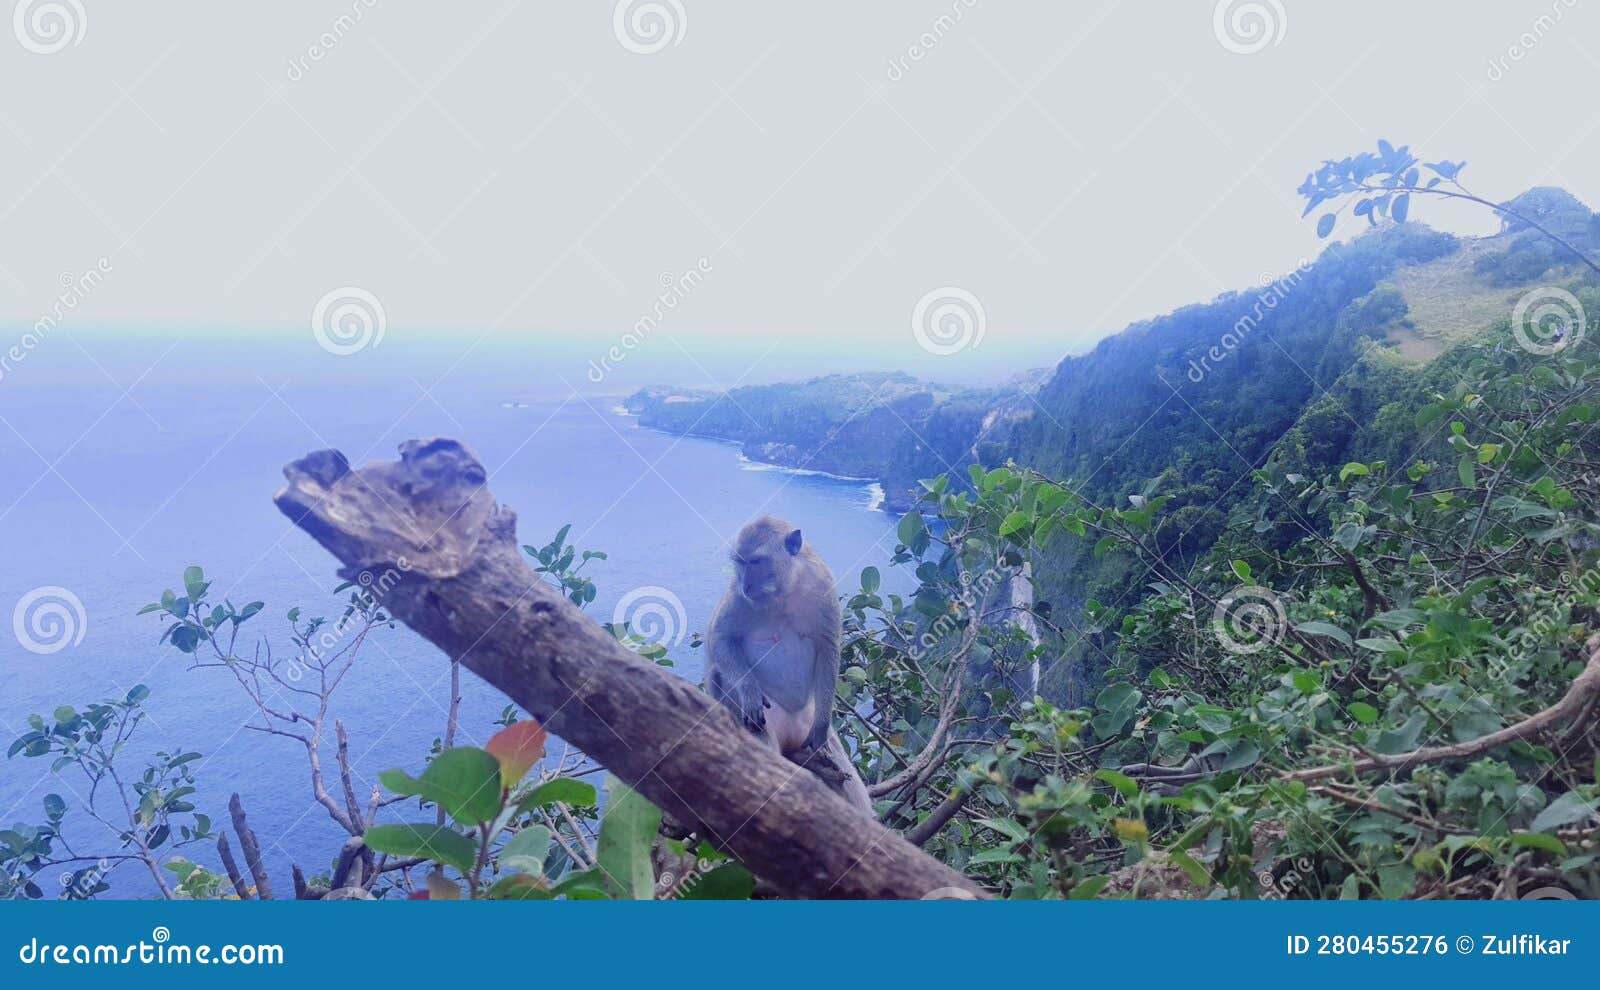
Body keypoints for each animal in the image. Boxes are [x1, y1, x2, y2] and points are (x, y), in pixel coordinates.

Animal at [705, 515, 872, 812]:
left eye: (756, 561)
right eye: (740, 562)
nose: (747, 586)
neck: (784, 590)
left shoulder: (822, 583)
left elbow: (828, 646)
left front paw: (820, 730)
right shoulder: (737, 597)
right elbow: (721, 638)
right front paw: (750, 692)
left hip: (807, 721)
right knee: (723, 680)